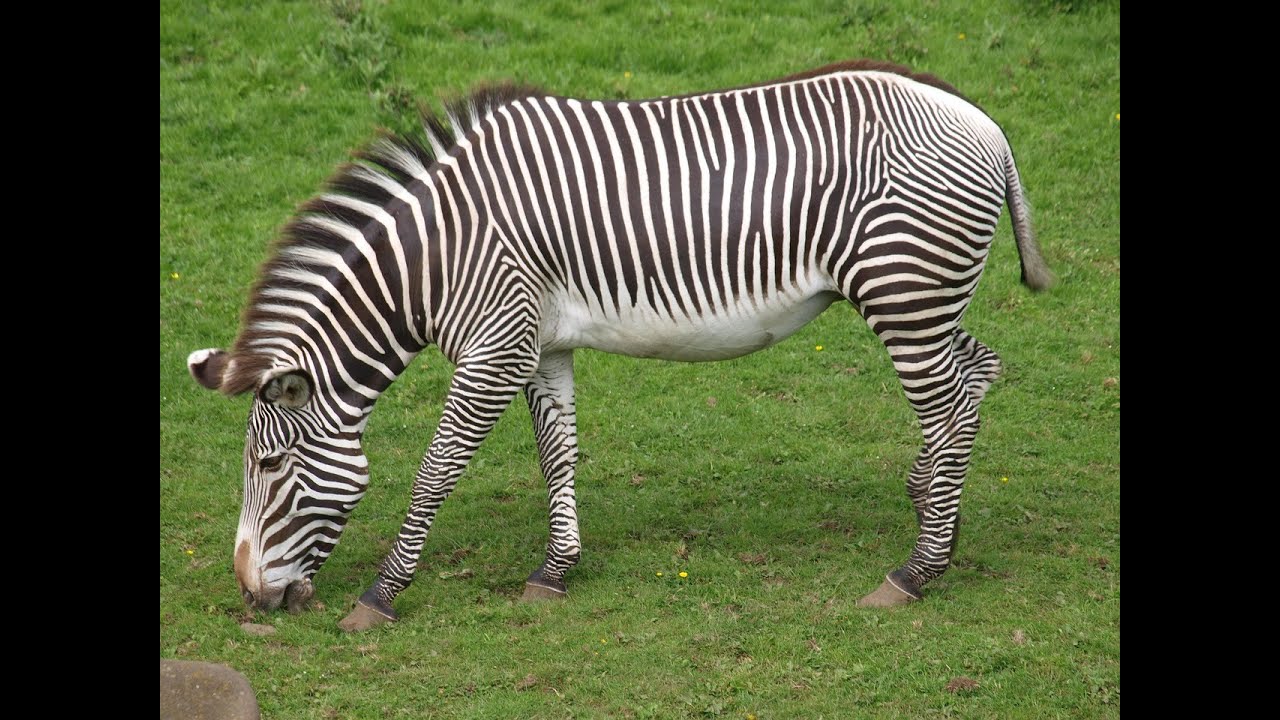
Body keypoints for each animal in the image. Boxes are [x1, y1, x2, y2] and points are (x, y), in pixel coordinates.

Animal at [187, 60, 1051, 632]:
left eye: (269, 466)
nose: (251, 598)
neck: (437, 256)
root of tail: (986, 124)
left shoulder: (494, 345)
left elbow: (437, 470)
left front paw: (379, 596)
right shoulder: (539, 343)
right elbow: (556, 453)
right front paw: (555, 570)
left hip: (904, 292)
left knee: (947, 406)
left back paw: (916, 570)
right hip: (922, 296)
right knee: (976, 374)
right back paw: (933, 510)